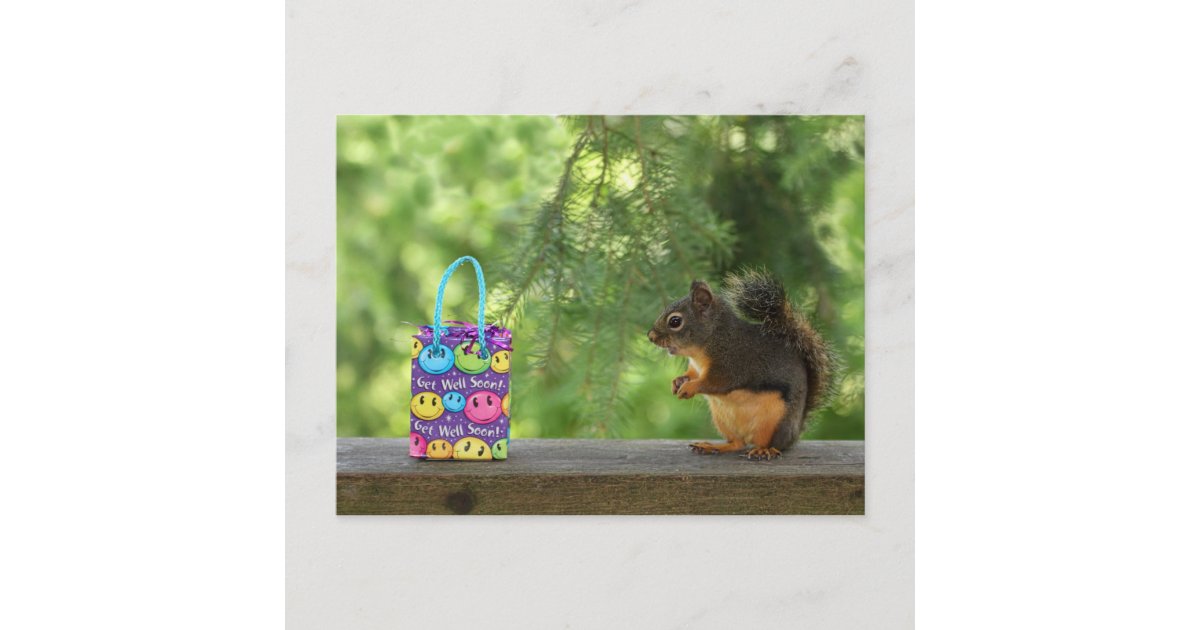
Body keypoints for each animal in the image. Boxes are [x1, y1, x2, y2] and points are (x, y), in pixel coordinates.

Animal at [646, 270, 836, 460]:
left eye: (675, 321)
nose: (651, 337)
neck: (710, 340)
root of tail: (795, 433)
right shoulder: (696, 368)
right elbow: (692, 375)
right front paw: (678, 381)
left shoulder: (731, 364)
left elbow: (714, 382)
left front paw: (690, 387)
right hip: (723, 420)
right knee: (737, 443)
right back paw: (712, 446)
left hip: (776, 420)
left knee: (774, 445)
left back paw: (764, 450)